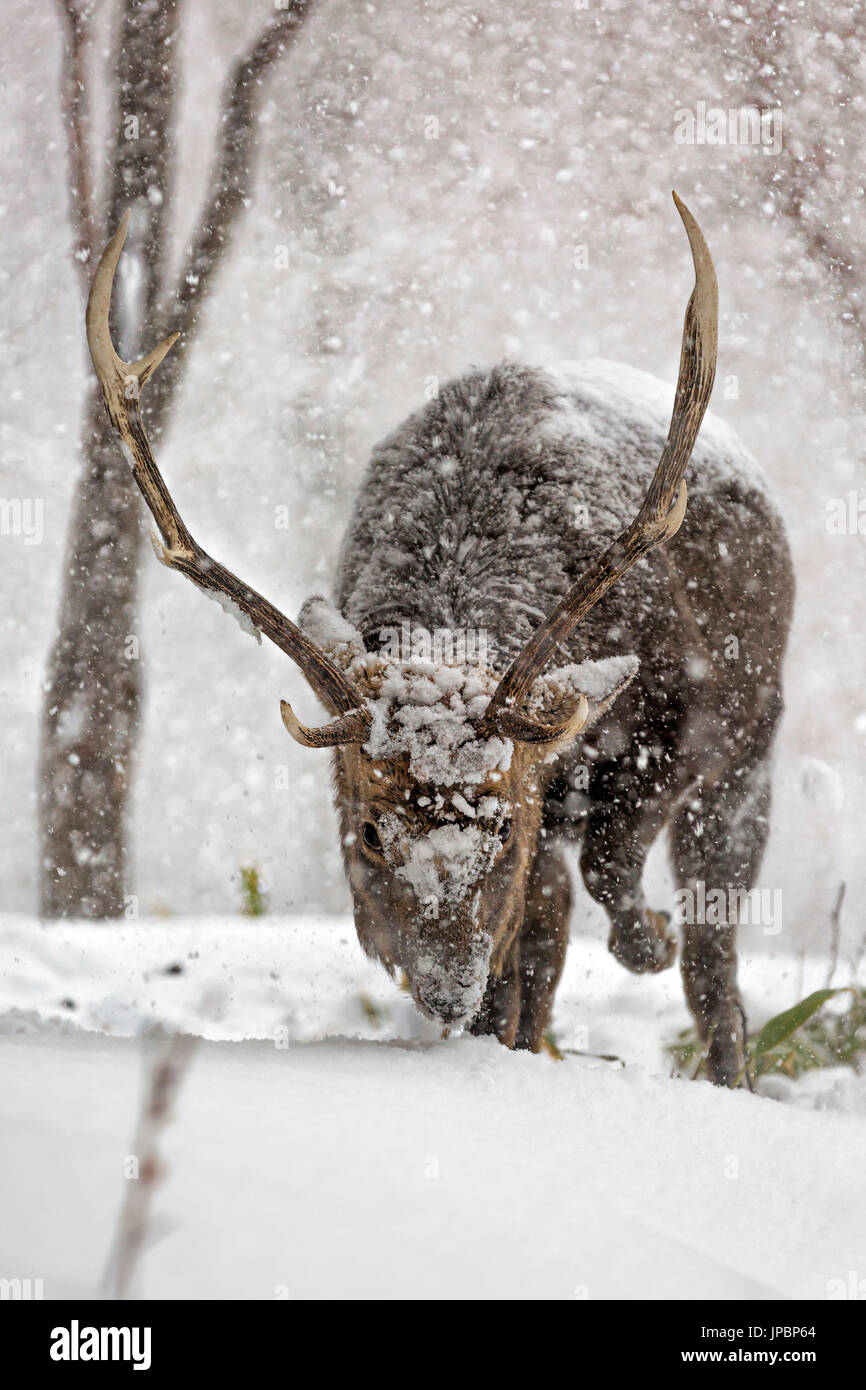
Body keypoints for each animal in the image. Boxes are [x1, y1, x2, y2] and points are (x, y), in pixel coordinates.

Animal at [85, 194, 793, 1086]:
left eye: (497, 827)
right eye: (371, 830)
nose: (448, 989)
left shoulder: (684, 718)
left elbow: (615, 871)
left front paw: (648, 939)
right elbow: (535, 946)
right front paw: (503, 1036)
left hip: (757, 739)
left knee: (713, 950)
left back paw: (719, 1047)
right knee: (558, 936)